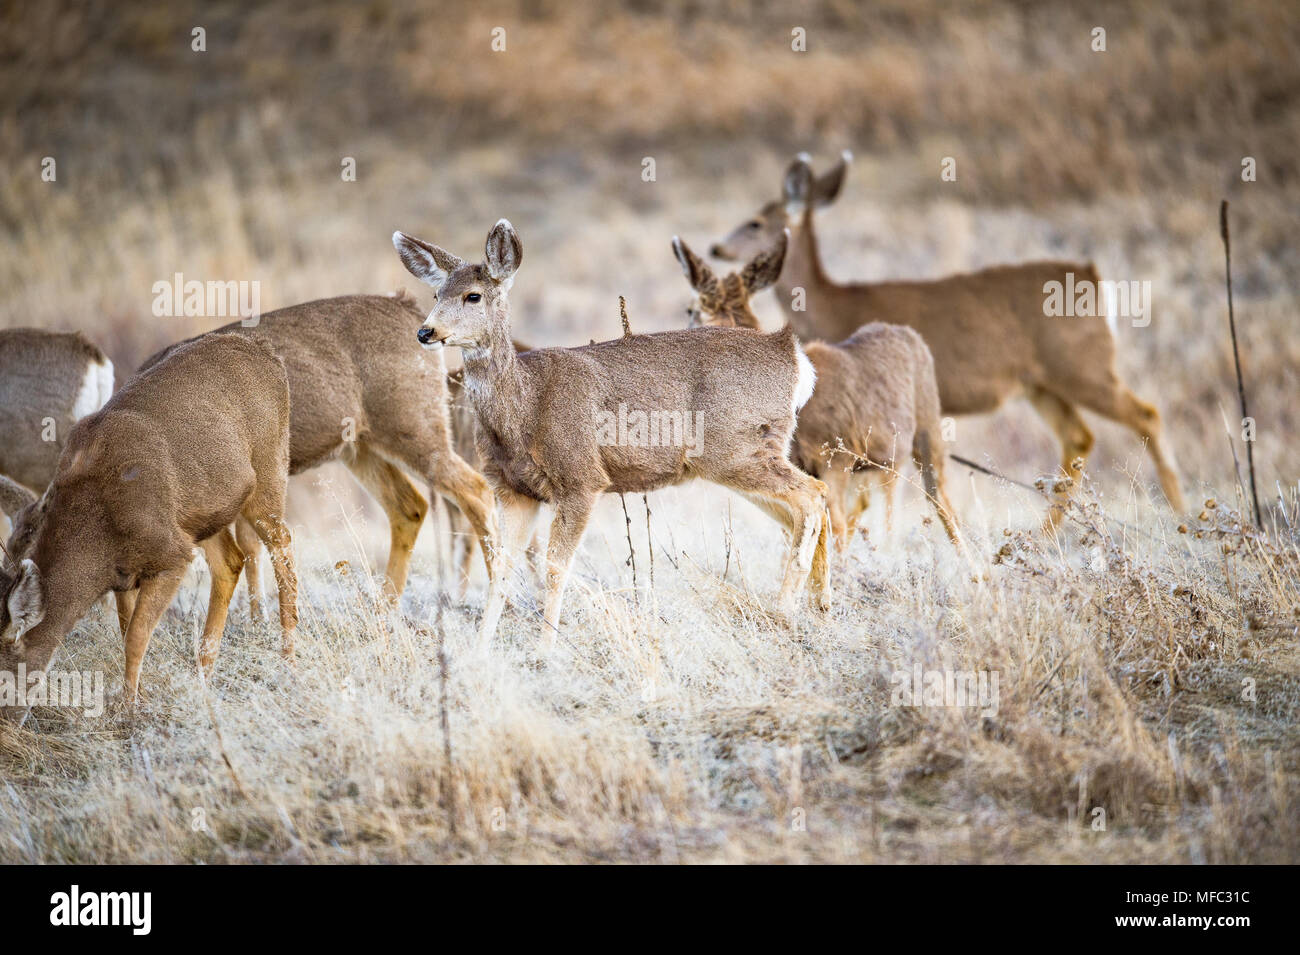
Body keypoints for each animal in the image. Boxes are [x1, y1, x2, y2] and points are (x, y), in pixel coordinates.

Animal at [0, 333, 297, 724]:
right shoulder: (126, 573)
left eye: (1, 681)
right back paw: (203, 674)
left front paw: (129, 707)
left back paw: (289, 659)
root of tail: (266, 352)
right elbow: (125, 626)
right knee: (230, 561)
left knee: (283, 548)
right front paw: (135, 697)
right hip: (204, 511)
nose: (10, 728)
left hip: (269, 468)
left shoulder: (171, 553)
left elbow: (136, 636)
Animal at [138, 292, 497, 616]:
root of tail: (410, 309)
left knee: (476, 490)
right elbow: (250, 546)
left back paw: (493, 596)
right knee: (410, 507)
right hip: (361, 448)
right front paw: (256, 618)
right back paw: (385, 608)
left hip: (412, 426)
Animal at [392, 219, 831, 646]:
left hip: (738, 449)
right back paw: (818, 607)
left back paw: (786, 611)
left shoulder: (581, 478)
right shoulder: (513, 489)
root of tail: (793, 356)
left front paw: (547, 651)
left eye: (473, 296)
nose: (426, 332)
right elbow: (501, 566)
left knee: (814, 494)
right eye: (435, 294)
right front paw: (481, 653)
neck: (525, 406)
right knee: (805, 507)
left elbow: (556, 567)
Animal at [675, 232, 960, 551]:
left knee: (943, 504)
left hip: (928, 428)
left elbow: (834, 530)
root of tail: (910, 334)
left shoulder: (836, 457)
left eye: (690, 310)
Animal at [711, 151, 1186, 526]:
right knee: (1080, 439)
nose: (716, 248)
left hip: (1083, 364)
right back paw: (1045, 535)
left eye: (755, 222)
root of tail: (1095, 278)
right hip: (1042, 384)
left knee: (1146, 415)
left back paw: (1181, 514)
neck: (831, 304)